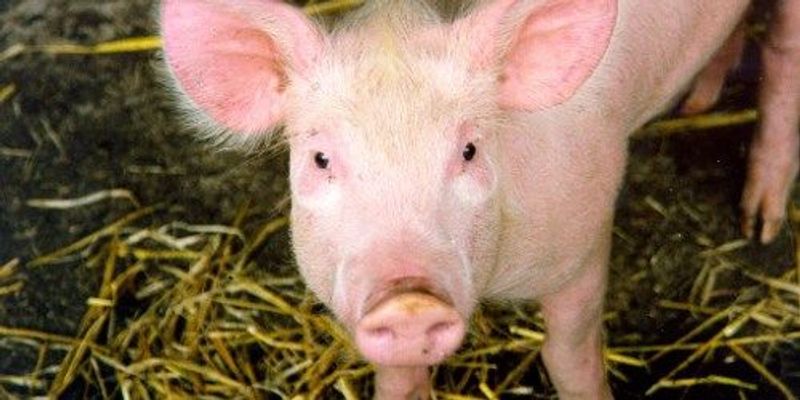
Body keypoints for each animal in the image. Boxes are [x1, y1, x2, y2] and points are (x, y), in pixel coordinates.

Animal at [159, 0, 799, 398]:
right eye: (320, 159)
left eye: (468, 150)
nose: (409, 299)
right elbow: (400, 381)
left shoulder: (585, 237)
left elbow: (568, 357)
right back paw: (698, 104)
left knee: (781, 62)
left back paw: (759, 223)